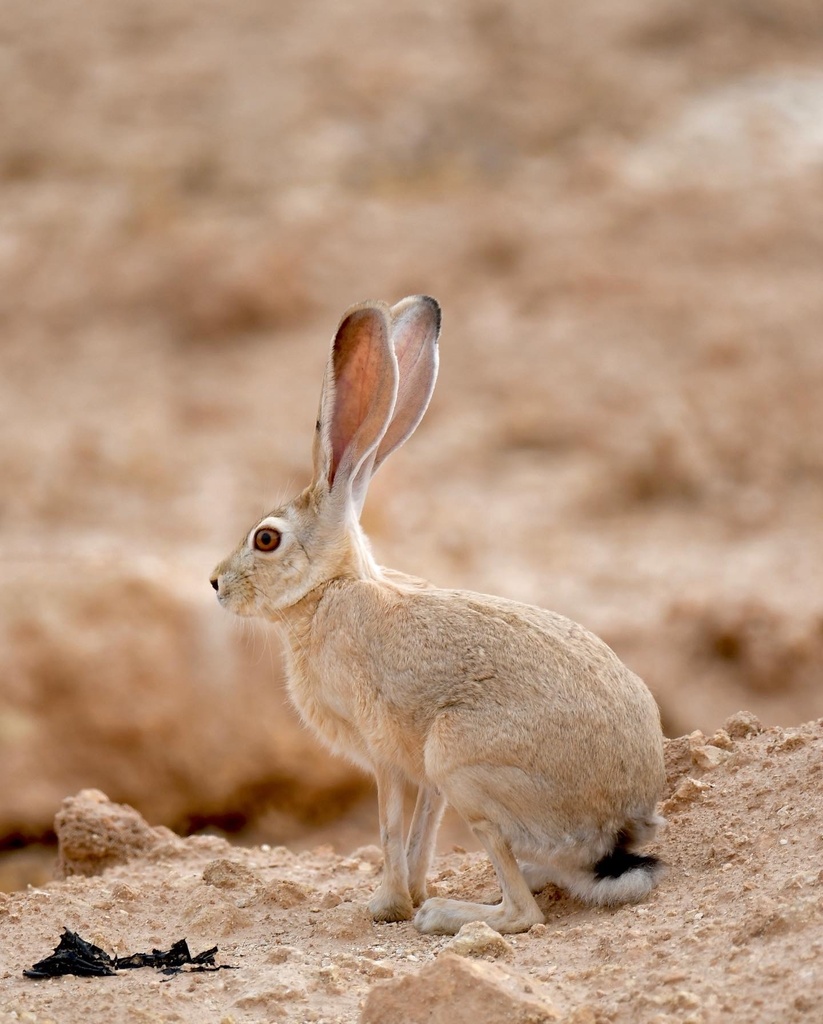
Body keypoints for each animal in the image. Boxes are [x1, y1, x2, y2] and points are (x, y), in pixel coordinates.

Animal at [210, 296, 666, 935]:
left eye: (266, 539)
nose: (216, 584)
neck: (331, 591)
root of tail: (616, 828)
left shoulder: (388, 755)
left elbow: (389, 830)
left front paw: (388, 906)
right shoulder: (421, 773)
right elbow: (420, 834)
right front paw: (412, 891)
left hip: (463, 765)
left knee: (523, 914)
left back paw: (447, 915)